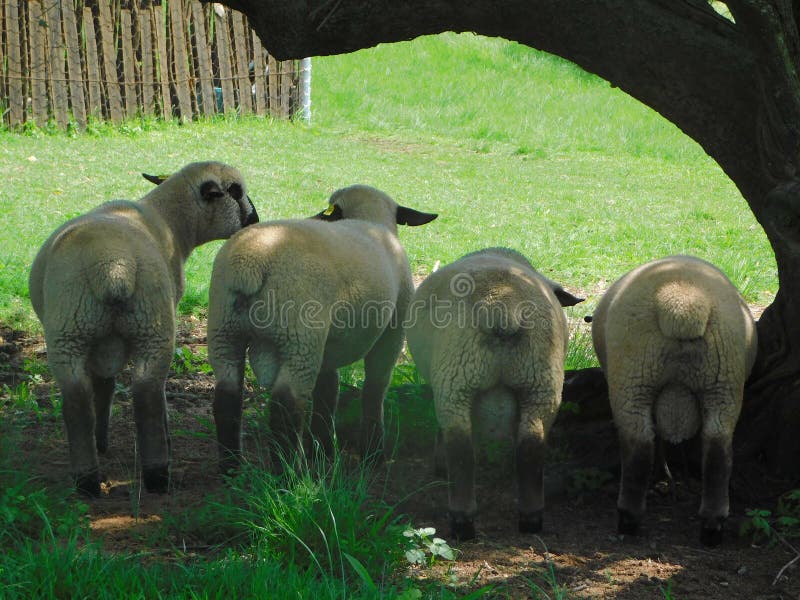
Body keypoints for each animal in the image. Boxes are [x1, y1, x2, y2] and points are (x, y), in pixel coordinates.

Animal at [28, 161, 259, 496]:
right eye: (236, 191)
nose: (255, 220)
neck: (168, 221)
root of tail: (112, 269)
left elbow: (104, 385)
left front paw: (102, 440)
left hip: (68, 331)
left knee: (77, 400)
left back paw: (87, 480)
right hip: (153, 326)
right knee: (148, 393)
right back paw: (157, 473)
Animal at [207, 184, 437, 472]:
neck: (370, 221)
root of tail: (249, 264)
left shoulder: (328, 345)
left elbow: (328, 391)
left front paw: (324, 448)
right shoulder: (391, 333)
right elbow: (374, 390)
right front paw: (373, 454)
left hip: (225, 330)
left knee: (226, 397)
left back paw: (232, 468)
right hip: (298, 336)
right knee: (285, 405)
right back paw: (288, 473)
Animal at [405, 247, 584, 540]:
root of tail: (503, 307)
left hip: (457, 379)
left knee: (461, 448)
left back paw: (462, 521)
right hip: (539, 381)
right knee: (531, 444)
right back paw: (531, 517)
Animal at [591, 255, 757, 546]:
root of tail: (682, 307)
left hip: (634, 379)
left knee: (638, 446)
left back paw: (628, 518)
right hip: (721, 384)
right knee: (718, 448)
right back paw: (712, 525)